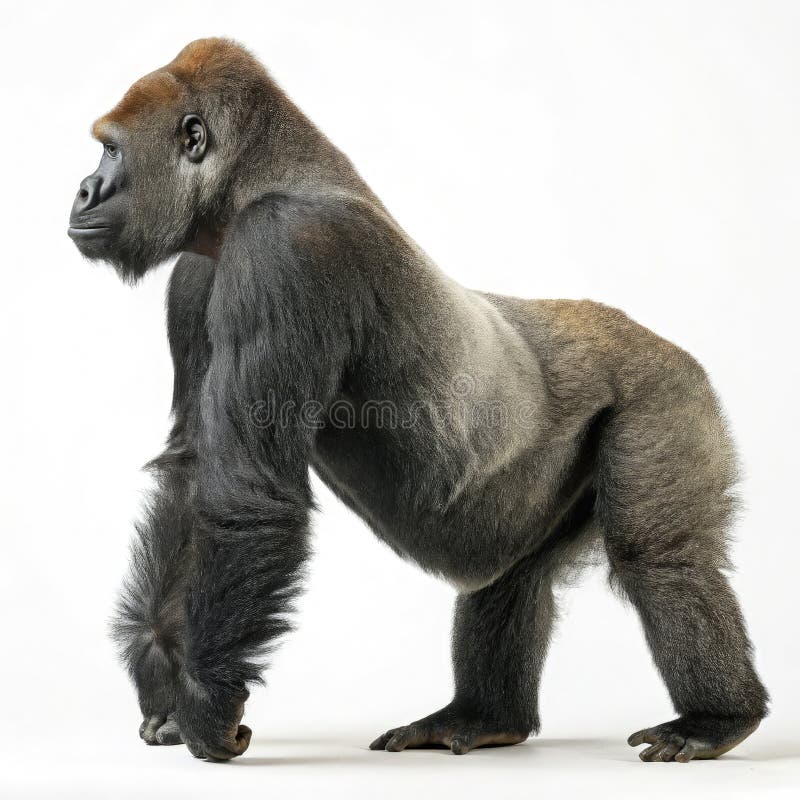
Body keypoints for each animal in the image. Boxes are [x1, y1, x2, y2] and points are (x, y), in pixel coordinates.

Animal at [68, 38, 767, 763]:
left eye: (110, 149)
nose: (84, 189)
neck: (257, 179)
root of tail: (660, 341)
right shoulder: (196, 276)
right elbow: (192, 469)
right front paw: (163, 677)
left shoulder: (285, 250)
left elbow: (249, 495)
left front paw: (206, 704)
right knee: (510, 573)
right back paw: (484, 716)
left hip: (667, 390)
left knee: (660, 558)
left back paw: (717, 719)